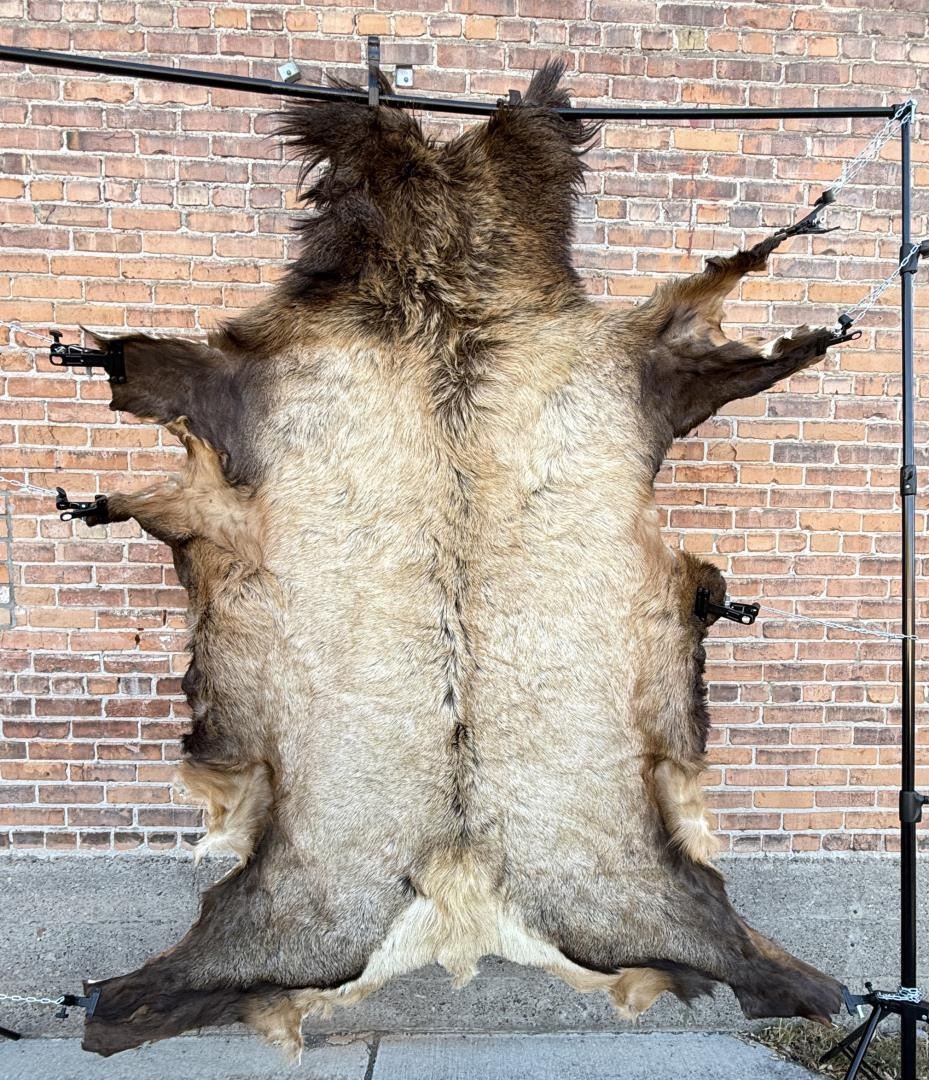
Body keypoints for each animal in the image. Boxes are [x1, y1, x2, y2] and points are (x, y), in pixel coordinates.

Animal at [72, 63, 843, 1058]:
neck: (446, 303)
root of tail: (462, 880)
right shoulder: (234, 404)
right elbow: (157, 378)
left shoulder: (644, 361)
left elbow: (718, 324)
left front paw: (800, 272)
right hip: (296, 902)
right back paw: (129, 995)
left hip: (631, 882)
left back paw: (801, 985)